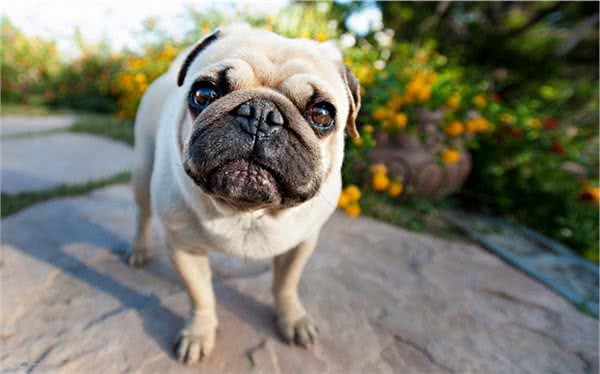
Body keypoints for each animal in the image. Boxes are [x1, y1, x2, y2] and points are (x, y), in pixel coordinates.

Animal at [128, 22, 358, 362]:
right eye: (203, 94)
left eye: (323, 114)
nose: (261, 114)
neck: (248, 211)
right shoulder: (184, 248)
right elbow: (201, 296)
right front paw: (199, 333)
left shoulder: (301, 244)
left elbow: (286, 285)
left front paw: (293, 319)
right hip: (143, 169)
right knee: (143, 213)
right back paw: (139, 250)